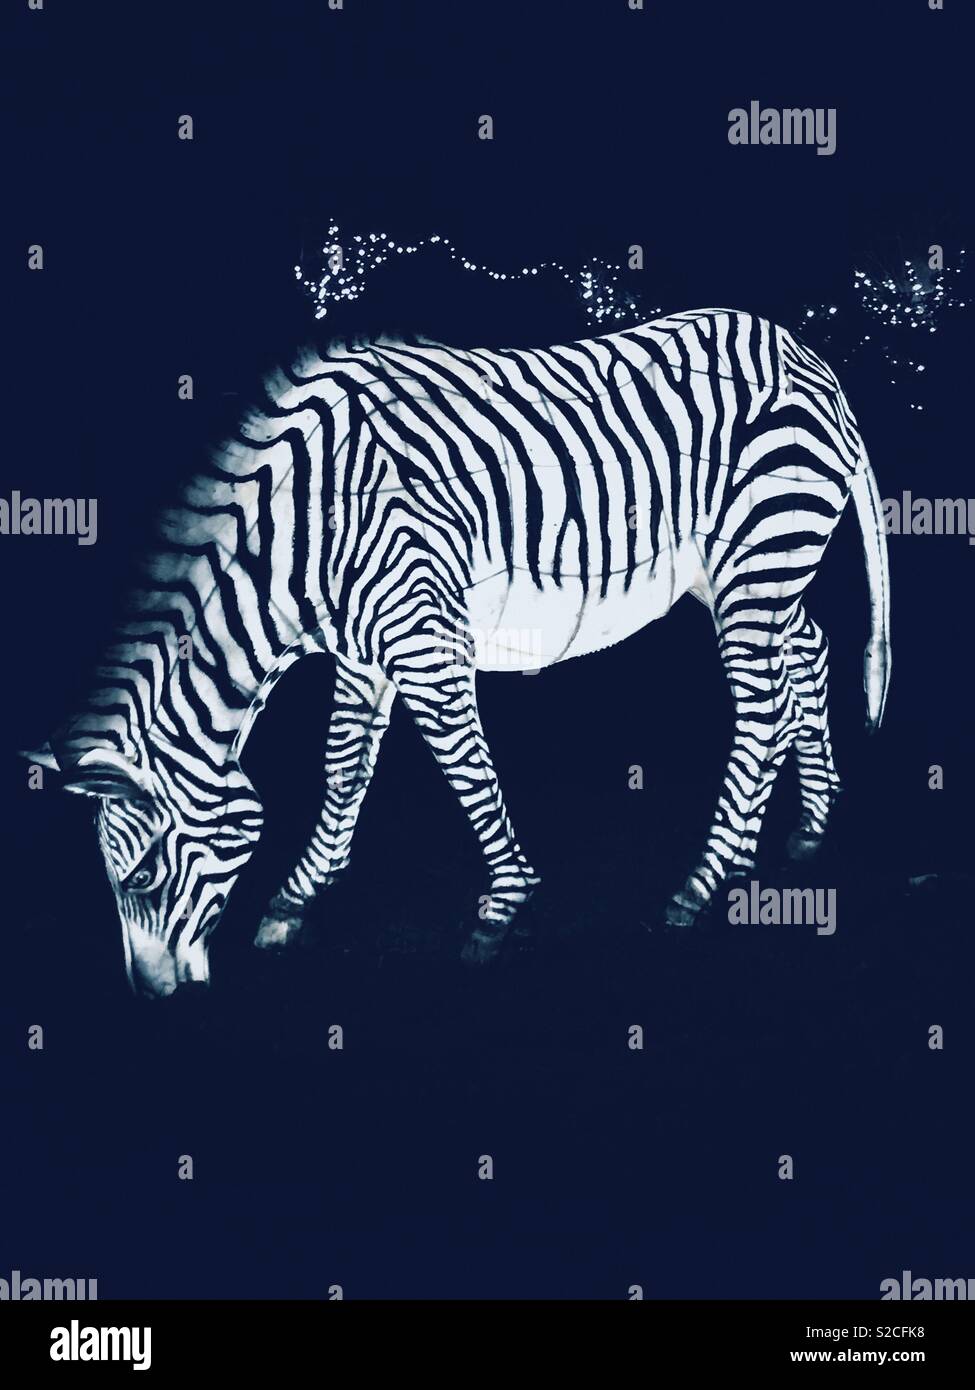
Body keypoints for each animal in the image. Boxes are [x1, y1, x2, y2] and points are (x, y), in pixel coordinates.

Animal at [23, 308, 890, 995]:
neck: (299, 538)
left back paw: (700, 888)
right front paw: (295, 903)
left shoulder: (422, 633)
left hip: (760, 547)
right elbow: (341, 771)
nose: (152, 1000)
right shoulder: (362, 653)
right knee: (806, 654)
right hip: (744, 571)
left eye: (140, 876)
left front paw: (501, 914)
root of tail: (808, 357)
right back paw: (805, 831)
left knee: (762, 710)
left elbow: (466, 770)